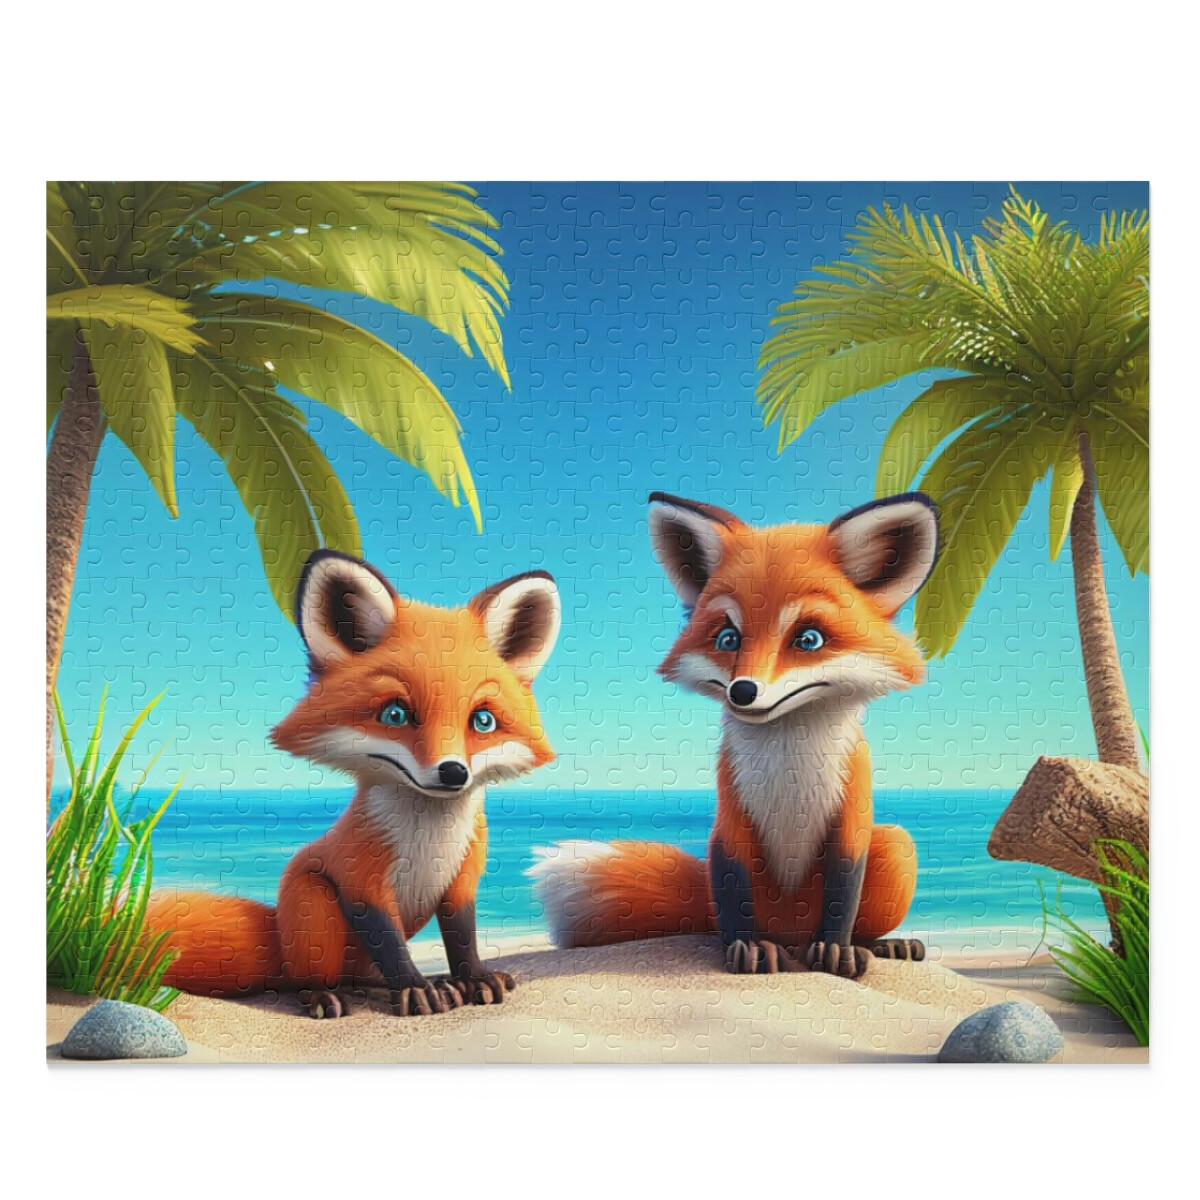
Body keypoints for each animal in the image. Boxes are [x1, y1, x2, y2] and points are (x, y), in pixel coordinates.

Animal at [146, 549, 561, 1017]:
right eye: (395, 714)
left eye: (483, 721)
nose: (454, 772)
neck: (430, 836)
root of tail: (280, 938)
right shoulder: (360, 878)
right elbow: (391, 945)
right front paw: (415, 989)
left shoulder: (462, 879)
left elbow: (462, 938)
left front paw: (471, 978)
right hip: (315, 906)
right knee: (307, 978)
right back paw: (325, 994)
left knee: (364, 975)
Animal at [530, 491, 938, 979]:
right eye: (728, 639)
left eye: (809, 639)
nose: (743, 691)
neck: (789, 758)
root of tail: (793, 934)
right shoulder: (731, 810)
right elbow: (734, 884)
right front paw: (751, 949)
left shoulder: (852, 804)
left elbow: (844, 891)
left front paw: (837, 951)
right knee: (722, 916)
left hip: (896, 846)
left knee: (862, 917)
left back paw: (880, 945)